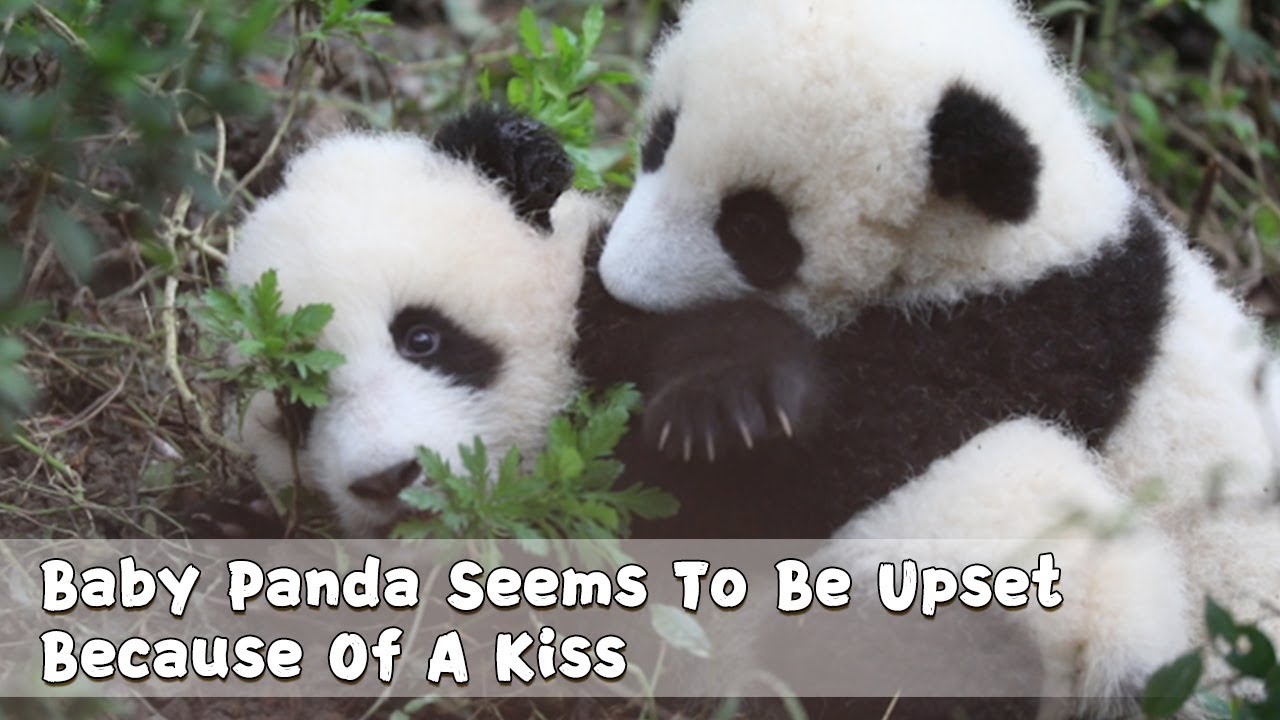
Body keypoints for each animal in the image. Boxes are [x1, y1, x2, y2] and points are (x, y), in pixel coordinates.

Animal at [592, 0, 1280, 715]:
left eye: (753, 226)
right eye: (659, 140)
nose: (622, 279)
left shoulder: (1035, 340)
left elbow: (818, 466)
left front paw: (724, 397)